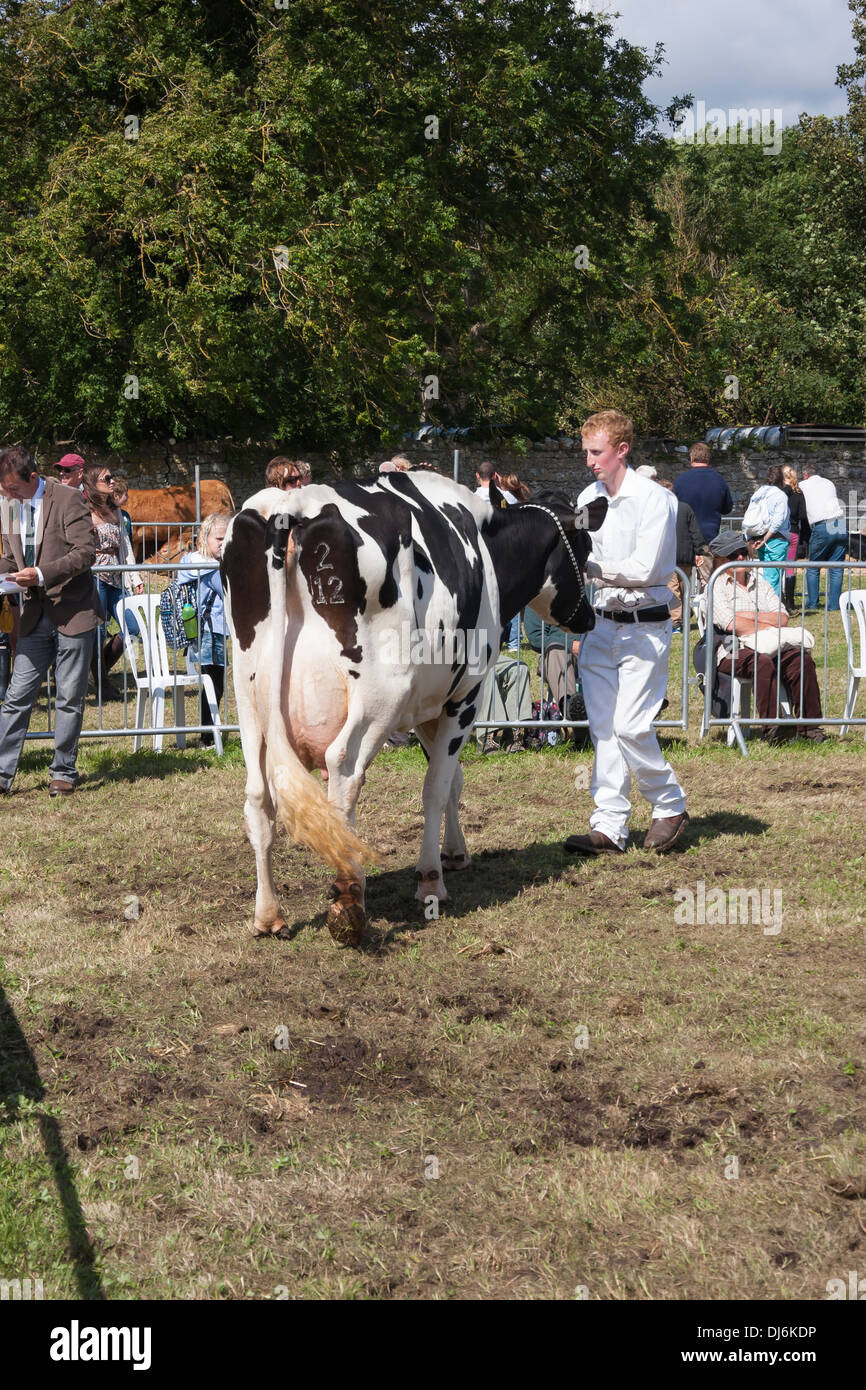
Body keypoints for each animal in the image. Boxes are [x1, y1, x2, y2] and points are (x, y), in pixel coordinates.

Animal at [220, 471, 606, 947]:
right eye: (585, 546)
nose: (589, 618)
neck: (487, 550)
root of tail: (291, 505)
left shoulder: (428, 704)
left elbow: (454, 782)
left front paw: (455, 853)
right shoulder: (465, 696)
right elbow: (436, 788)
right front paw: (430, 880)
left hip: (250, 700)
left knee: (258, 795)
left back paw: (268, 914)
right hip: (378, 695)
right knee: (344, 770)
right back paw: (348, 902)